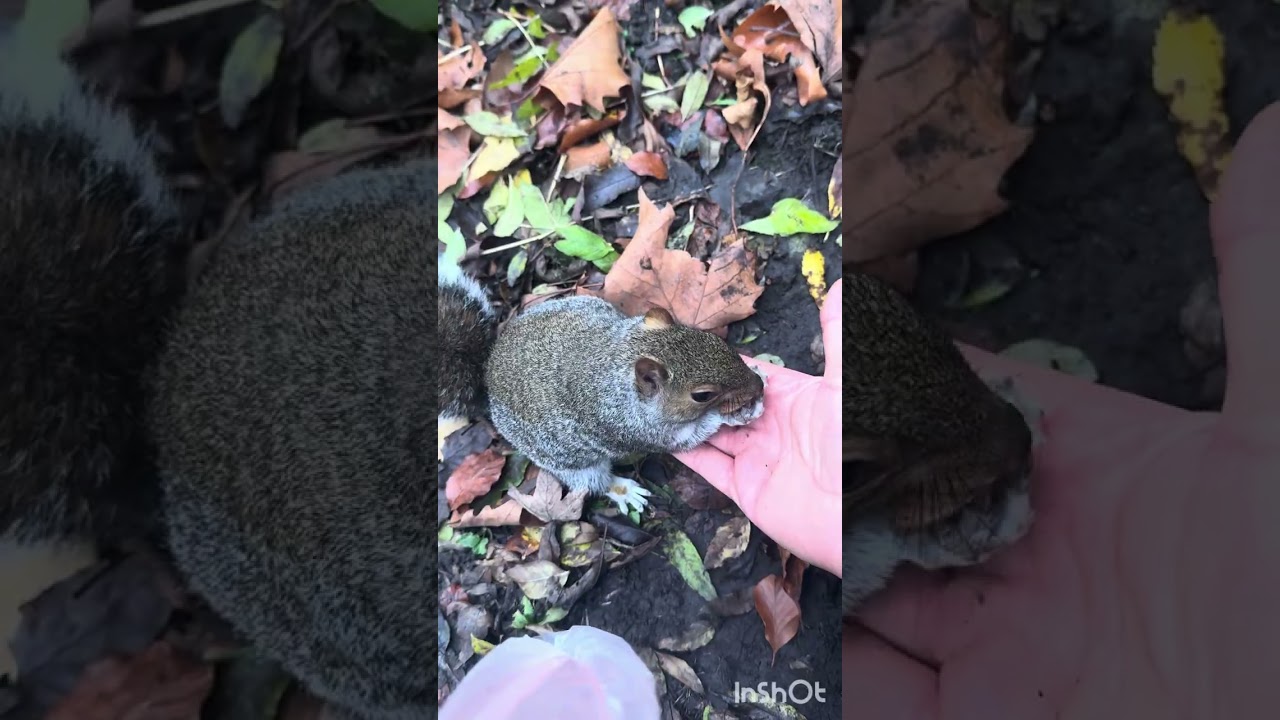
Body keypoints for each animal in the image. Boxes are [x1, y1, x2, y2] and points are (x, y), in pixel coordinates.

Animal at [439, 270, 767, 513]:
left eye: (714, 340)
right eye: (702, 395)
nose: (758, 386)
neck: (617, 361)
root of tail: (488, 372)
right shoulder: (637, 430)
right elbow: (689, 437)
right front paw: (731, 416)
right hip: (570, 463)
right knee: (593, 482)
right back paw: (623, 490)